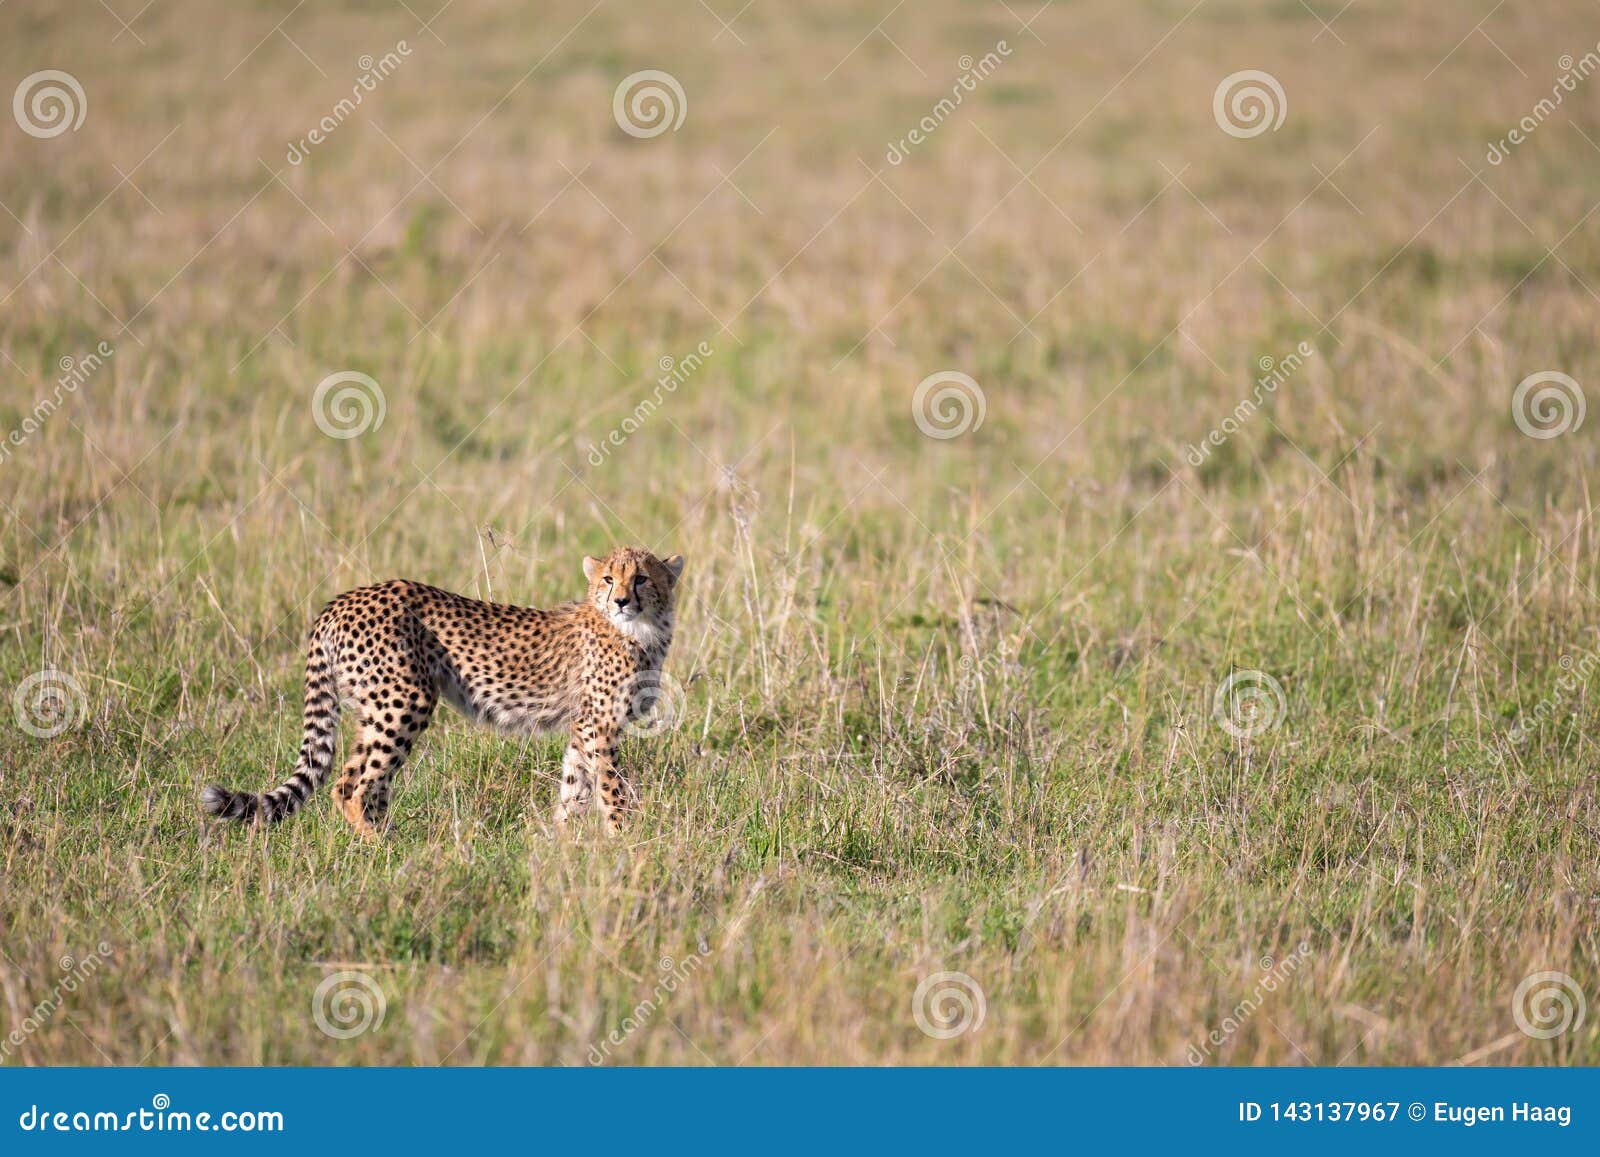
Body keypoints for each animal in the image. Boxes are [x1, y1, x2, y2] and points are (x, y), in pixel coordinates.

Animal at [200, 545, 684, 838]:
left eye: (642, 579)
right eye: (608, 579)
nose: (621, 600)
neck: (641, 630)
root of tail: (344, 599)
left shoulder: (583, 728)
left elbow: (575, 786)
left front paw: (561, 841)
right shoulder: (600, 726)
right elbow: (612, 787)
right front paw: (625, 841)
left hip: (375, 707)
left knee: (359, 780)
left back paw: (389, 839)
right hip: (405, 701)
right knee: (352, 785)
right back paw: (382, 847)